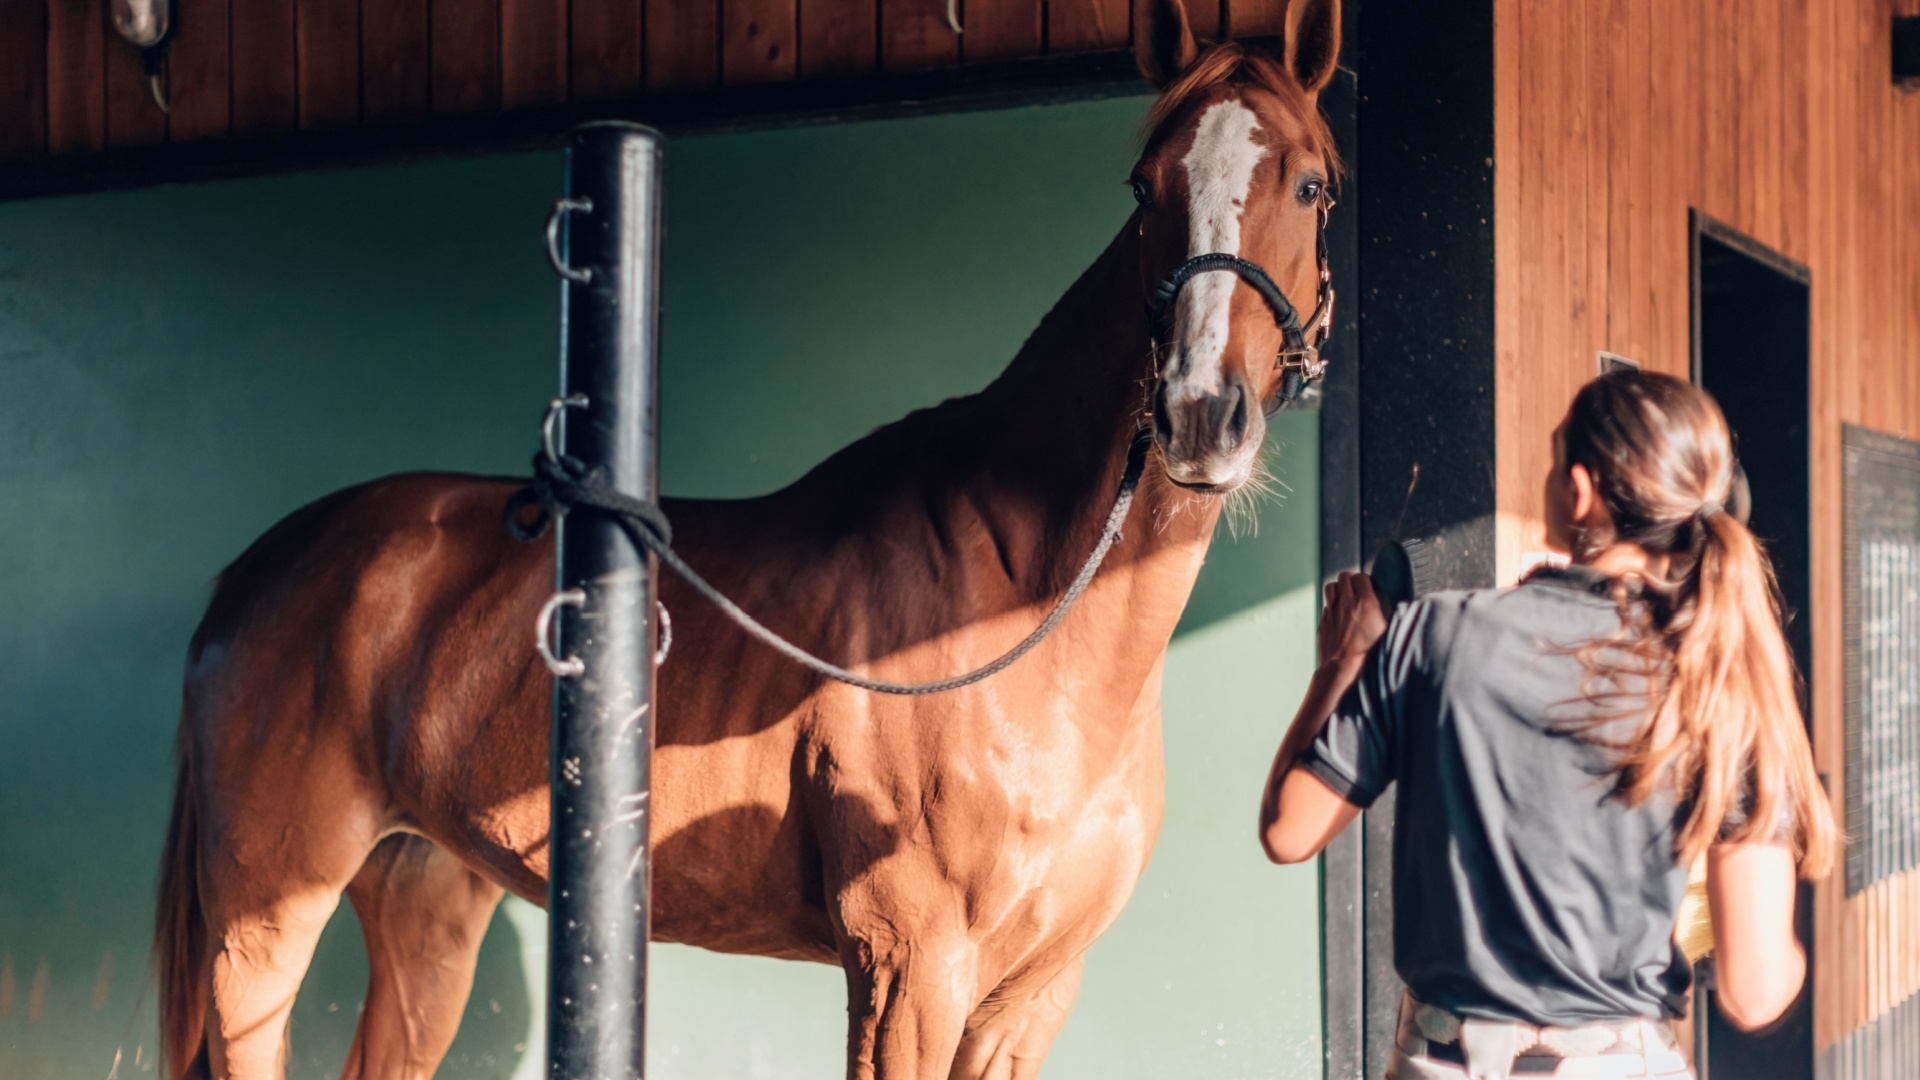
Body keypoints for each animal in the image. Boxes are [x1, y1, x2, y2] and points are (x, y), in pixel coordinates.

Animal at [154, 2, 1343, 1076]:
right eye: (1145, 187)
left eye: (1312, 183)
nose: (1199, 412)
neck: (1032, 606)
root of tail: (254, 575)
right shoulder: (908, 973)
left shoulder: (1031, 999)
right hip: (263, 929)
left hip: (427, 904)